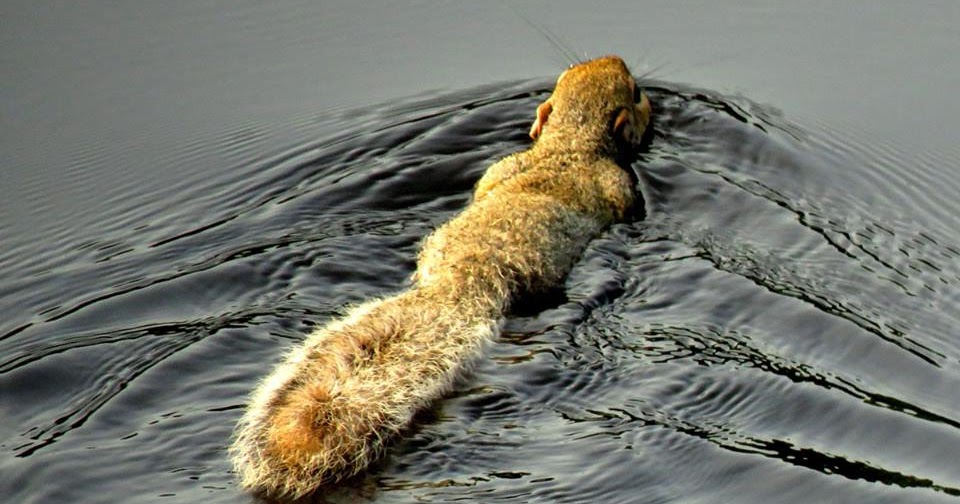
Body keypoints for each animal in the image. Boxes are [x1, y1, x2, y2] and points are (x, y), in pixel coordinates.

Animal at [231, 55, 652, 500]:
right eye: (637, 92)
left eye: (566, 76)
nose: (616, 60)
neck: (569, 144)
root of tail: (460, 281)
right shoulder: (616, 184)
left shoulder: (504, 165)